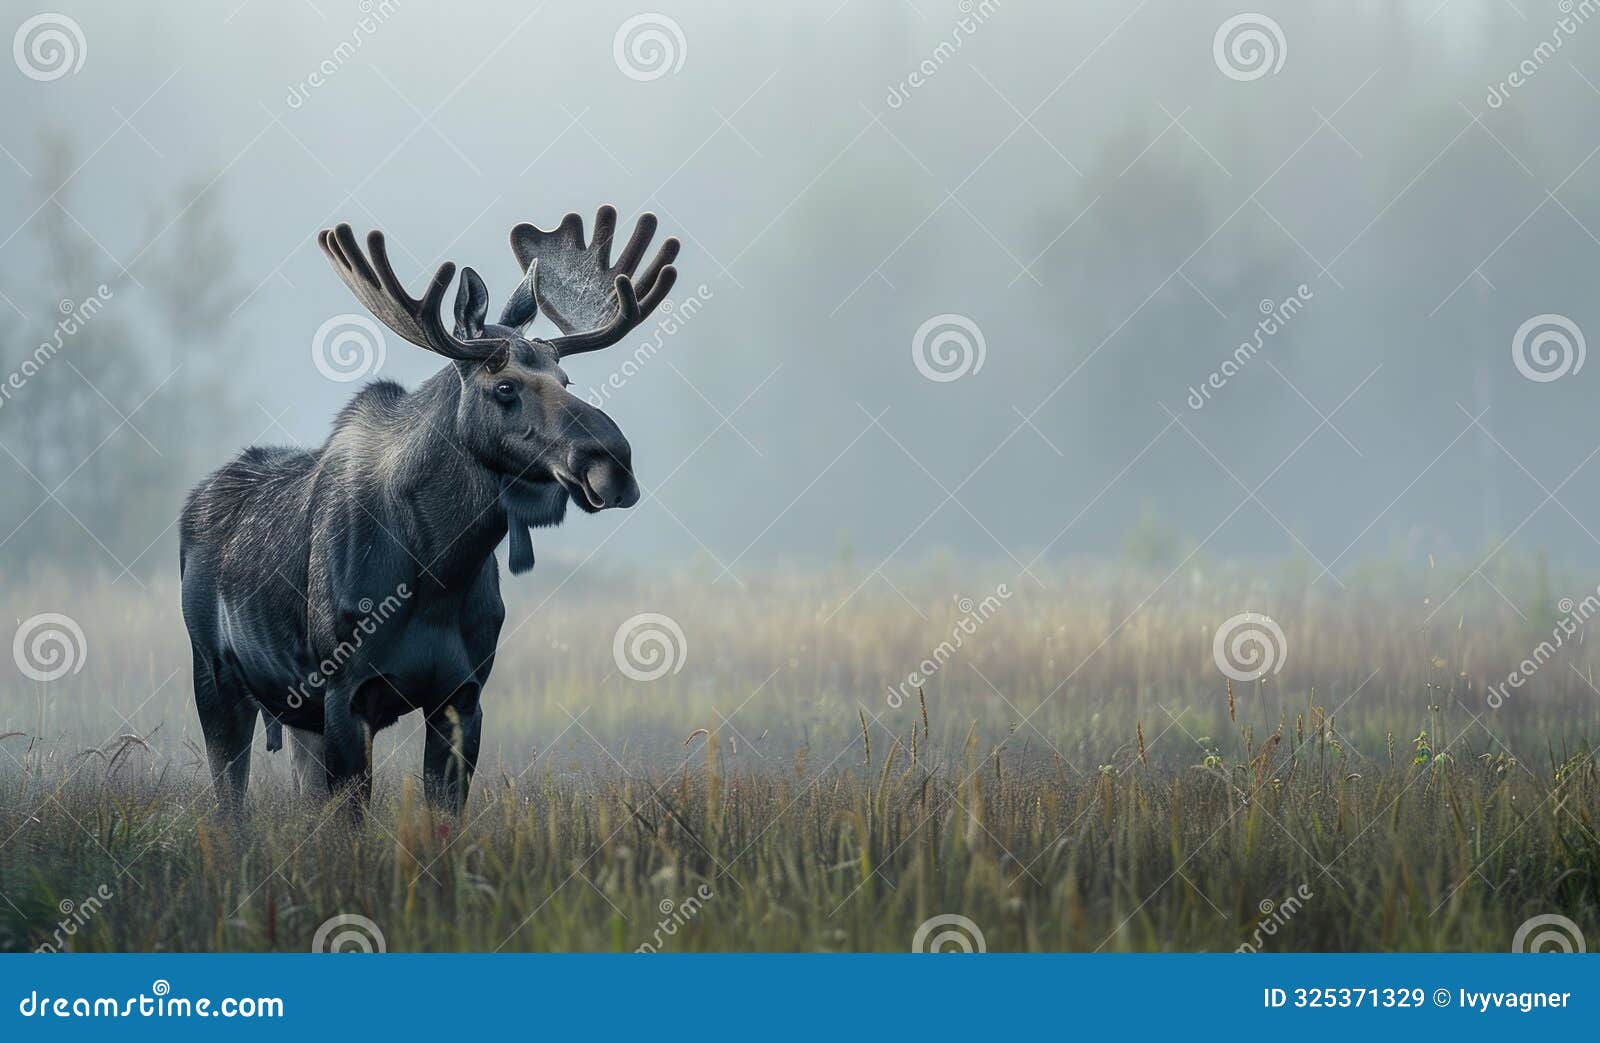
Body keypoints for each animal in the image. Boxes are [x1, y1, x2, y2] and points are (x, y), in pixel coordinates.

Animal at [178, 206, 678, 818]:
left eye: (567, 380)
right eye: (504, 387)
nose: (614, 463)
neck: (439, 570)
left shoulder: (463, 694)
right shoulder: (344, 693)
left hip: (295, 716)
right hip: (214, 675)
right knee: (230, 805)